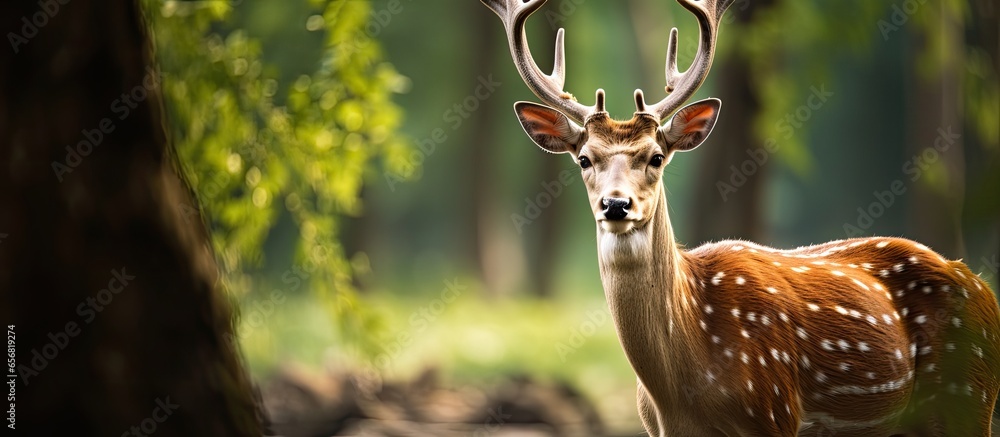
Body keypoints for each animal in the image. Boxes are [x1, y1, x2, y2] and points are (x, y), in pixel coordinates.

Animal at [480, 0, 1000, 435]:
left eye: (656, 157)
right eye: (584, 159)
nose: (616, 205)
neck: (679, 393)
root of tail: (982, 287)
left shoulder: (774, 413)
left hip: (969, 396)